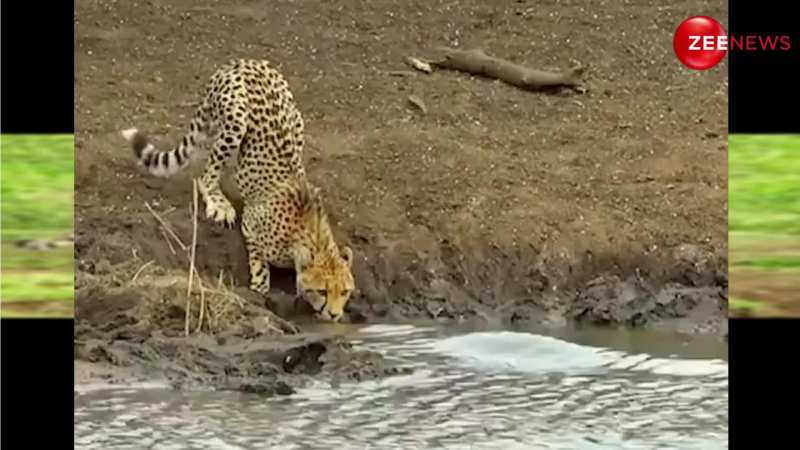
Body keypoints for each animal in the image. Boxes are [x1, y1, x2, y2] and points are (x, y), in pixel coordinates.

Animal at [120, 58, 354, 322]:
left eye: (344, 292)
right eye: (322, 291)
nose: (335, 314)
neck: (309, 233)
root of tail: (244, 61)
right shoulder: (251, 227)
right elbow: (260, 266)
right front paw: (260, 289)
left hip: (296, 119)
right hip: (236, 121)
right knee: (205, 175)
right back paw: (219, 203)